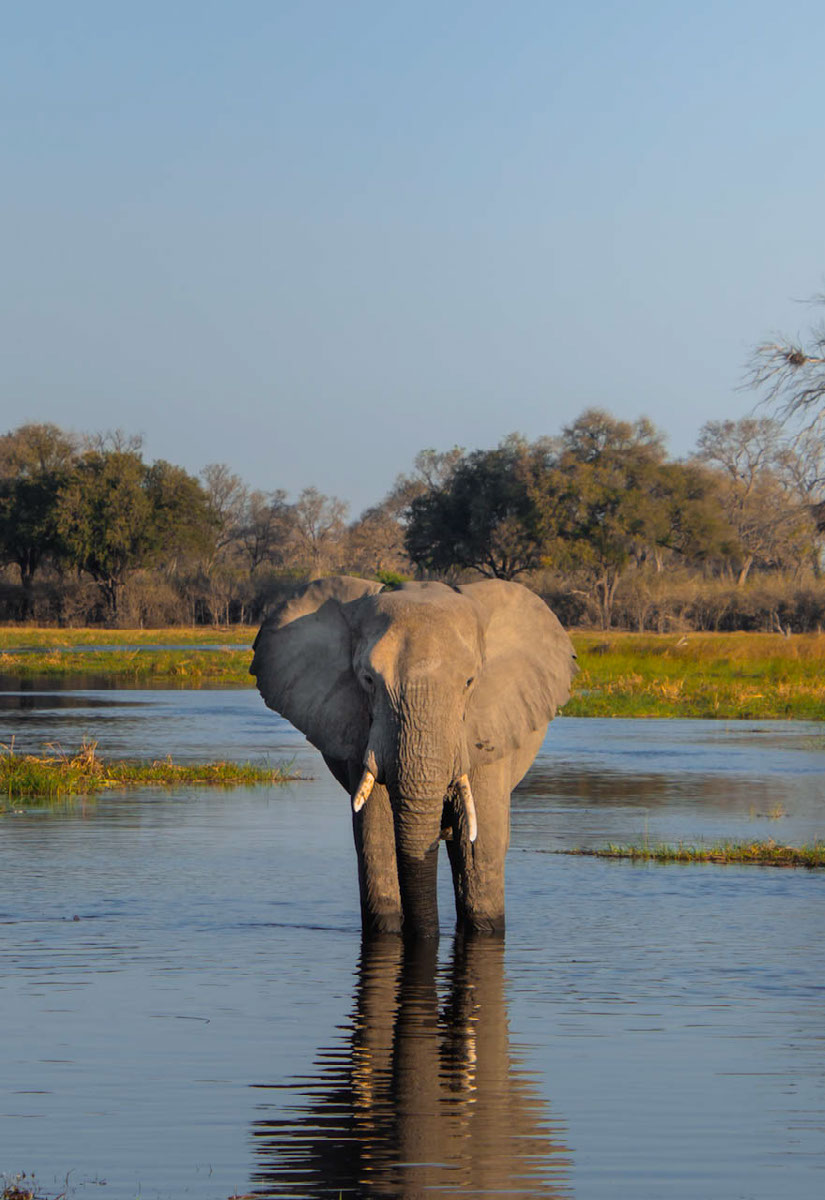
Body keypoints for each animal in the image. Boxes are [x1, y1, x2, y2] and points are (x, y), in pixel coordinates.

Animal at [250, 575, 576, 938]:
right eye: (368, 680)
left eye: (469, 682)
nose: (427, 934)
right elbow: (375, 835)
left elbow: (482, 845)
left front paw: (483, 929)